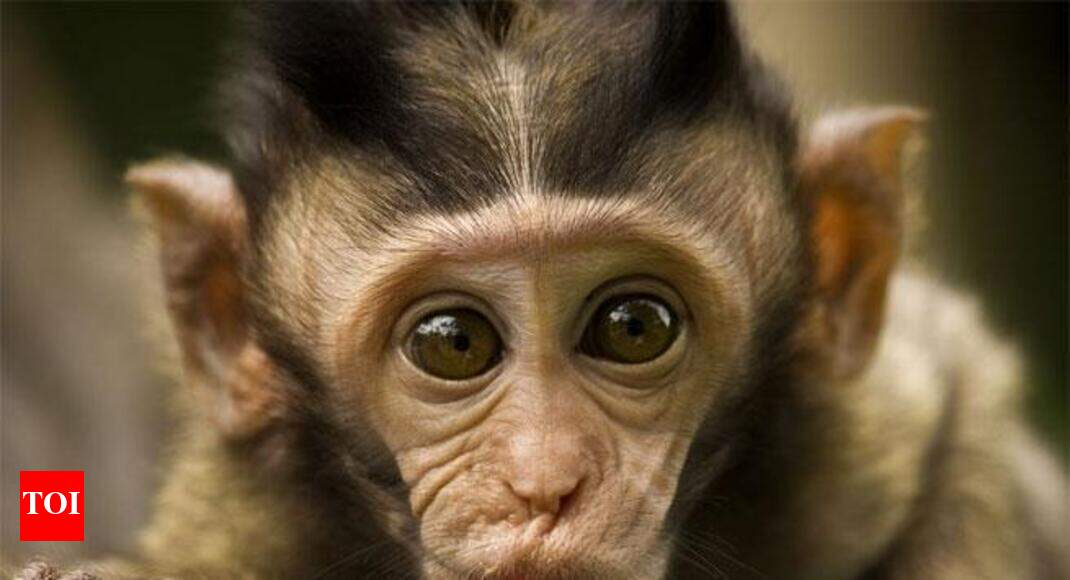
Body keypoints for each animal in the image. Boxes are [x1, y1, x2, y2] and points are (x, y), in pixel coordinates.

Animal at [11, 2, 1067, 579]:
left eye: (633, 326)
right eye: (453, 343)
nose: (545, 485)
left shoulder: (865, 441)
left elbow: (961, 401)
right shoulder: (242, 518)